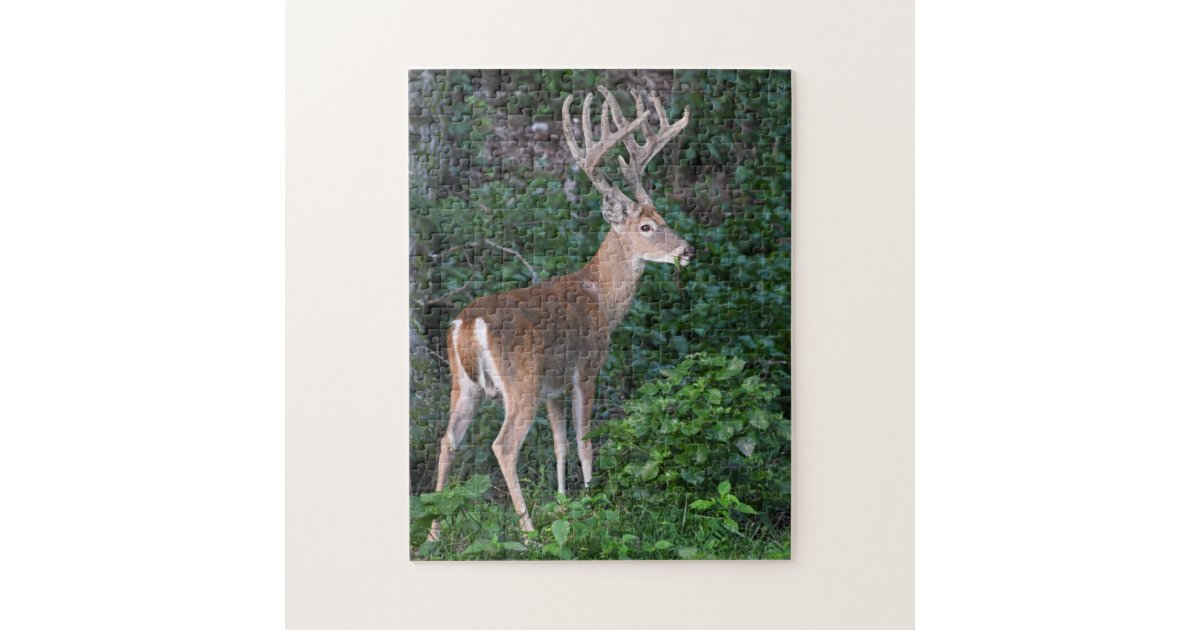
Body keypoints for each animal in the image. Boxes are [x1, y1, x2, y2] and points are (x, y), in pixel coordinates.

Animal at [428, 87, 695, 539]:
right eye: (646, 227)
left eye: (663, 217)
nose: (687, 249)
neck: (601, 298)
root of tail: (468, 324)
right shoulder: (585, 369)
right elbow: (584, 439)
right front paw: (592, 500)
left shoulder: (553, 388)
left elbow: (559, 443)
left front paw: (563, 501)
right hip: (521, 381)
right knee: (503, 445)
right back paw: (529, 532)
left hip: (464, 385)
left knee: (448, 441)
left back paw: (432, 533)